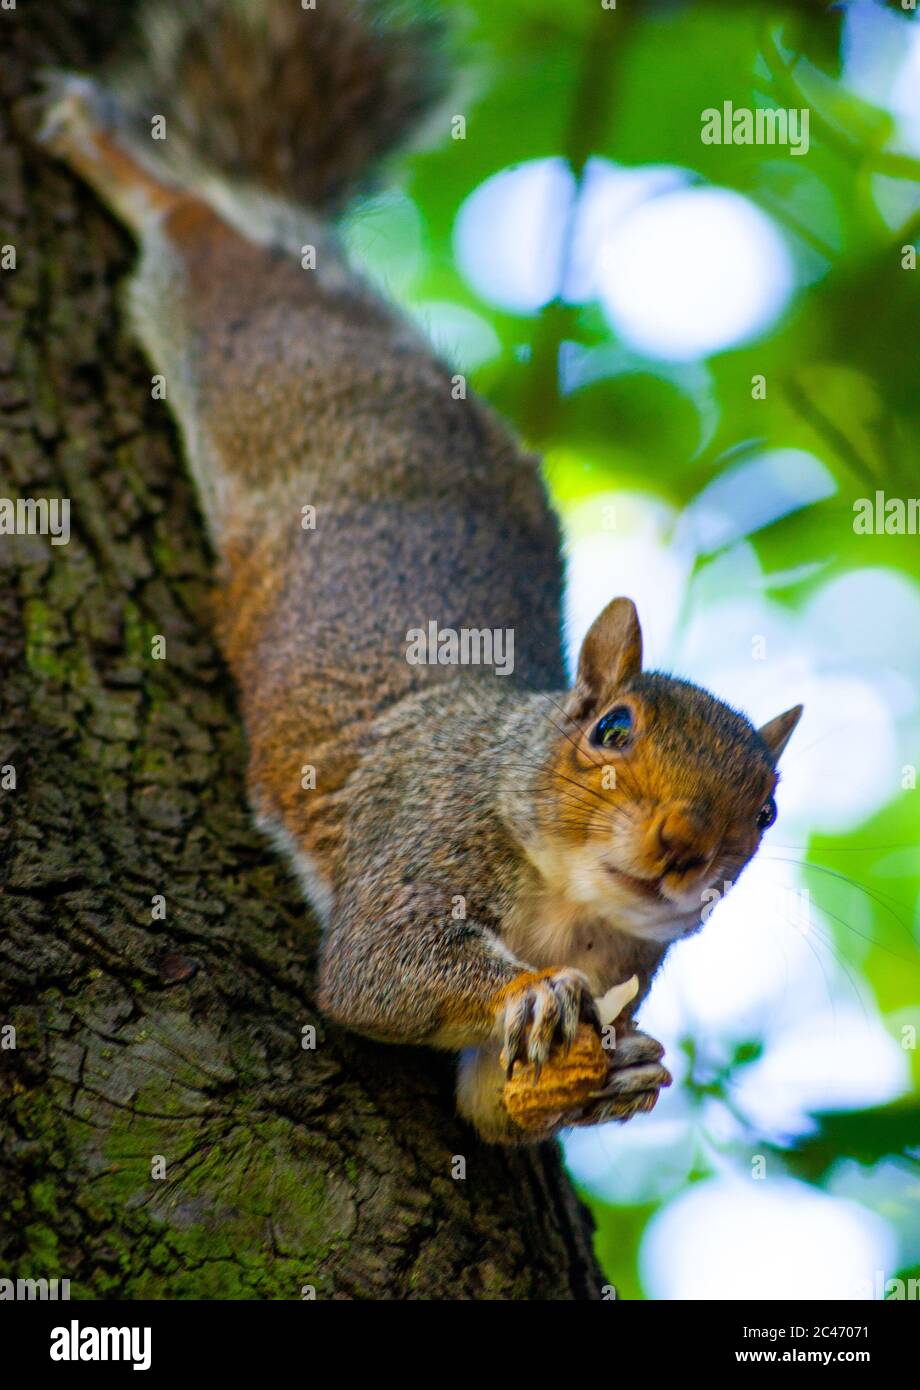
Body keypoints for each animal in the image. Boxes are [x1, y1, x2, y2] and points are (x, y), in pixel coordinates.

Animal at [36, 0, 802, 1143]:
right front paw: (529, 991)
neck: (562, 891)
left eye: (766, 813)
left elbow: (486, 1101)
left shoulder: (627, 958)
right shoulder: (420, 835)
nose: (683, 848)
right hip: (246, 335)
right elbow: (377, 971)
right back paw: (105, 146)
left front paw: (595, 1077)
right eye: (611, 730)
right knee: (199, 225)